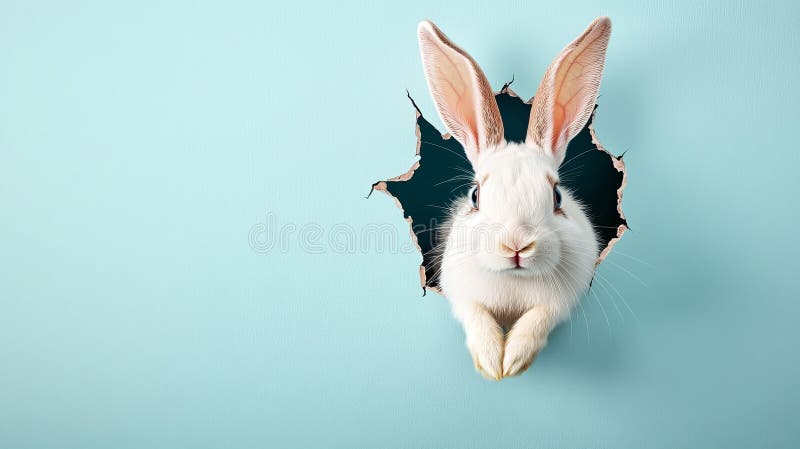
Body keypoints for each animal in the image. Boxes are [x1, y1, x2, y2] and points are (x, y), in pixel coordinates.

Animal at [417, 17, 611, 380]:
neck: (514, 280)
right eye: (475, 195)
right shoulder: (461, 292)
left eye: (557, 196)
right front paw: (491, 361)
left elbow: (539, 319)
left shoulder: (561, 300)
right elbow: (475, 316)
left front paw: (515, 360)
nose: (516, 245)